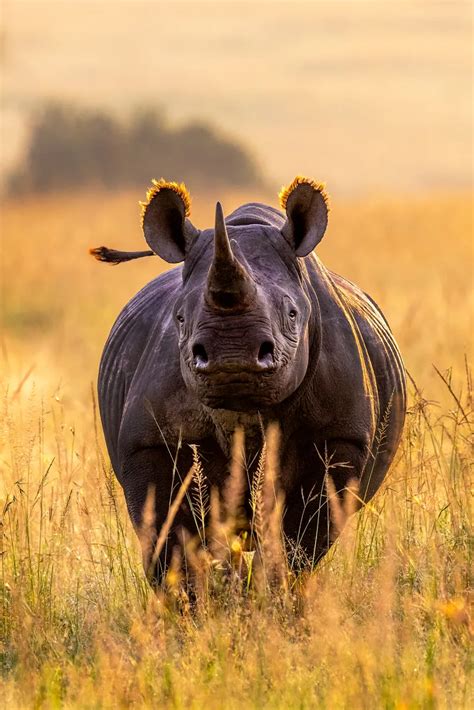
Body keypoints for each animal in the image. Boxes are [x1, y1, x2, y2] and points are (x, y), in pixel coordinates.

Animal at [92, 176, 406, 583]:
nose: (232, 359)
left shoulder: (339, 437)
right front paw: (189, 598)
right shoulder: (149, 440)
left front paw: (274, 592)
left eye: (293, 314)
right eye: (179, 317)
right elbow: (166, 536)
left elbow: (301, 539)